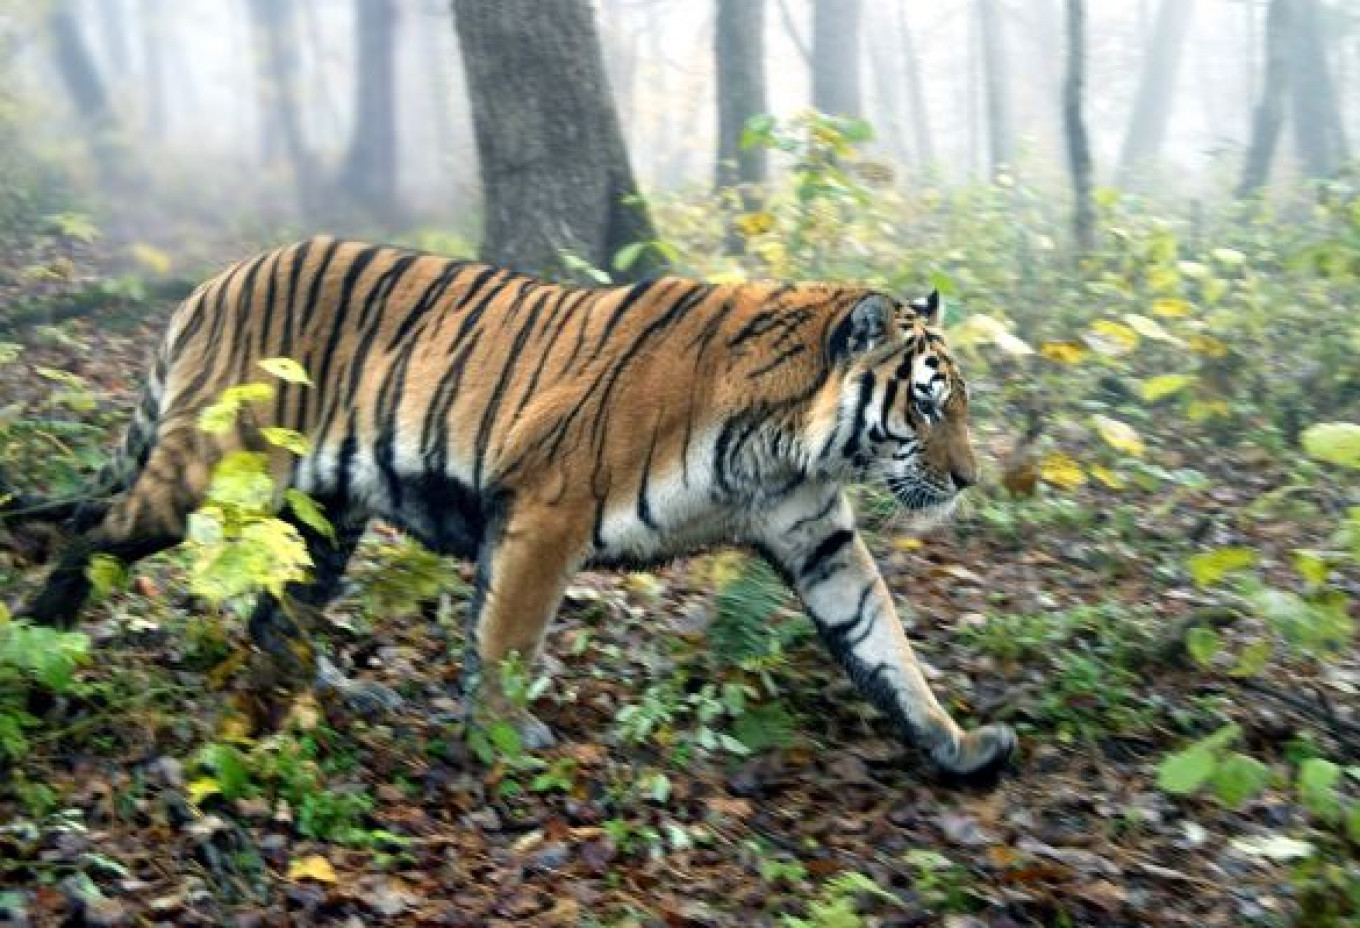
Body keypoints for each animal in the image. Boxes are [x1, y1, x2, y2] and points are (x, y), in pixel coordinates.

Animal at [14, 236, 1016, 782]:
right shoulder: (549, 507)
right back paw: (33, 652)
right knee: (91, 532)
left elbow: (884, 644)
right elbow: (509, 632)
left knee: (279, 611)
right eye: (929, 404)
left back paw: (343, 691)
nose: (971, 479)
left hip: (326, 512)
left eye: (960, 405)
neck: (788, 443)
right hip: (212, 468)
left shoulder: (819, 537)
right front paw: (503, 735)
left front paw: (958, 746)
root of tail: (213, 282)